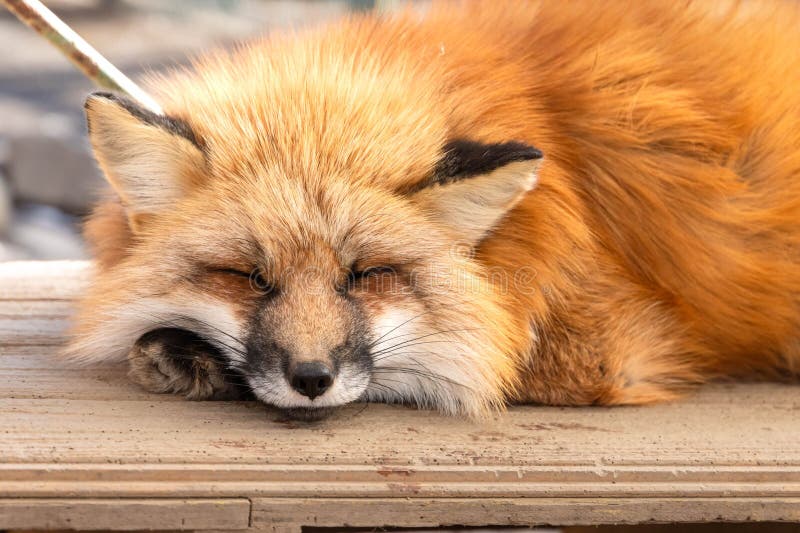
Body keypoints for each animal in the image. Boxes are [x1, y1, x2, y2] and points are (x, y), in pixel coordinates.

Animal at [67, 0, 800, 420]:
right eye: (249, 278)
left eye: (367, 275)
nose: (311, 380)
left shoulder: (610, 349)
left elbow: (471, 358)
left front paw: (187, 354)